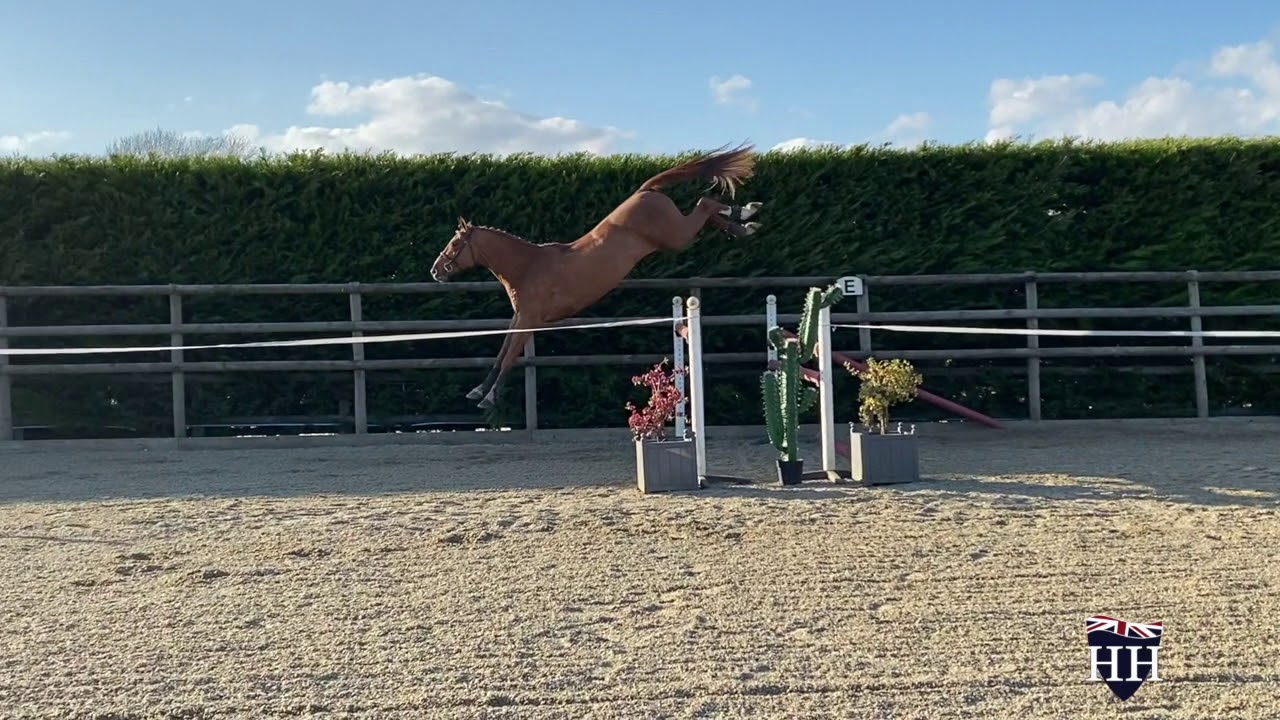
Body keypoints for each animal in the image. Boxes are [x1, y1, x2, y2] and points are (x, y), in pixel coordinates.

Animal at [429, 143, 764, 410]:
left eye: (455, 245)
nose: (435, 270)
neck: (527, 266)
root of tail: (643, 191)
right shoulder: (519, 318)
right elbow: (501, 352)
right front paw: (478, 390)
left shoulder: (528, 320)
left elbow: (510, 355)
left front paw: (488, 397)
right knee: (710, 215)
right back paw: (745, 222)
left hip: (675, 237)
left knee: (704, 205)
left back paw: (746, 212)